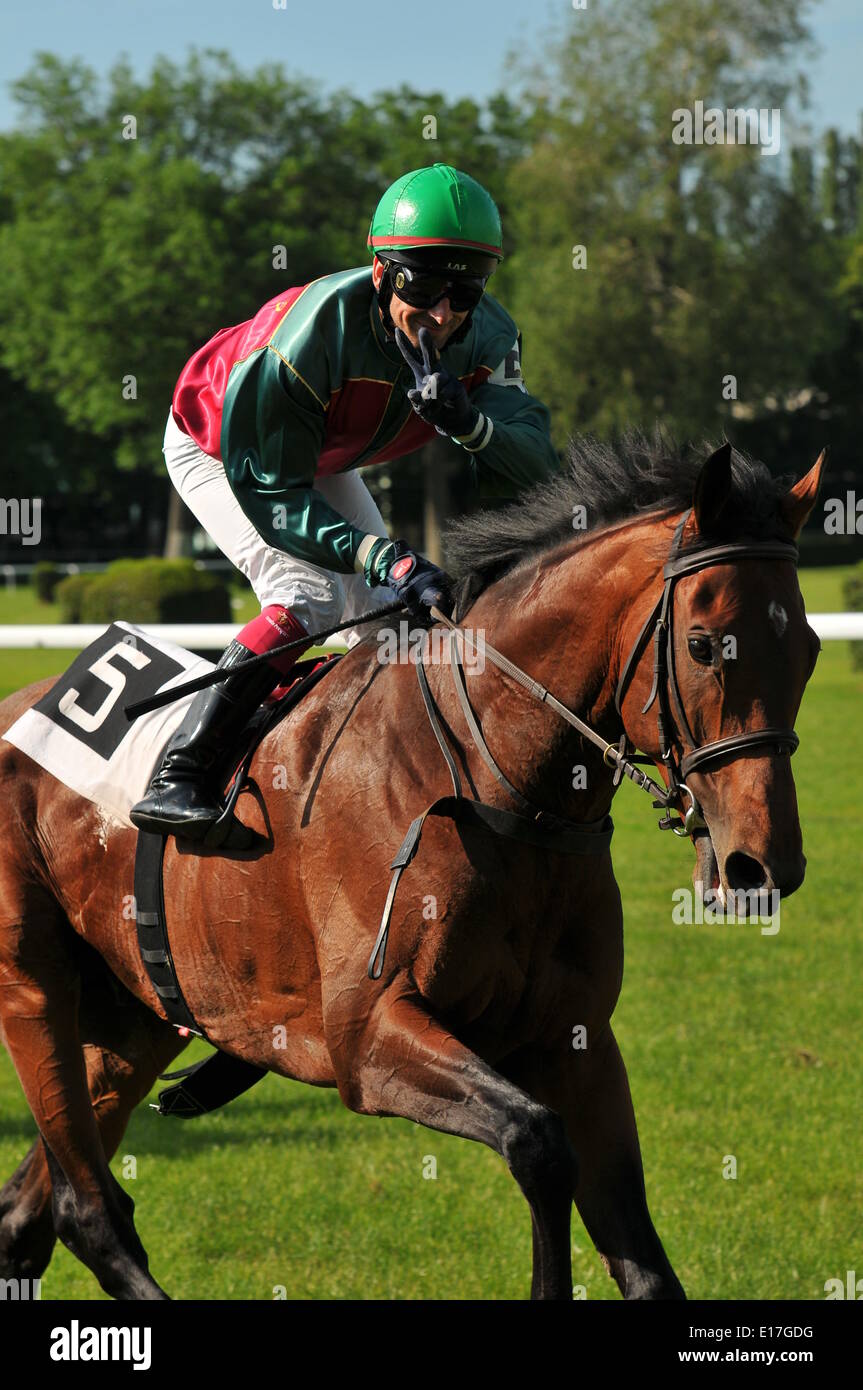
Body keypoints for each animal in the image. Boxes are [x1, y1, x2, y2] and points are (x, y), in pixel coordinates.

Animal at [0, 433, 823, 1300]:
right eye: (702, 645)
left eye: (807, 647)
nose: (761, 863)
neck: (485, 780)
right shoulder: (368, 1036)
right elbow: (538, 1143)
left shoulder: (578, 1040)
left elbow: (643, 1260)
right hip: (36, 993)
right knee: (85, 1206)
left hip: (142, 1015)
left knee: (33, 1202)